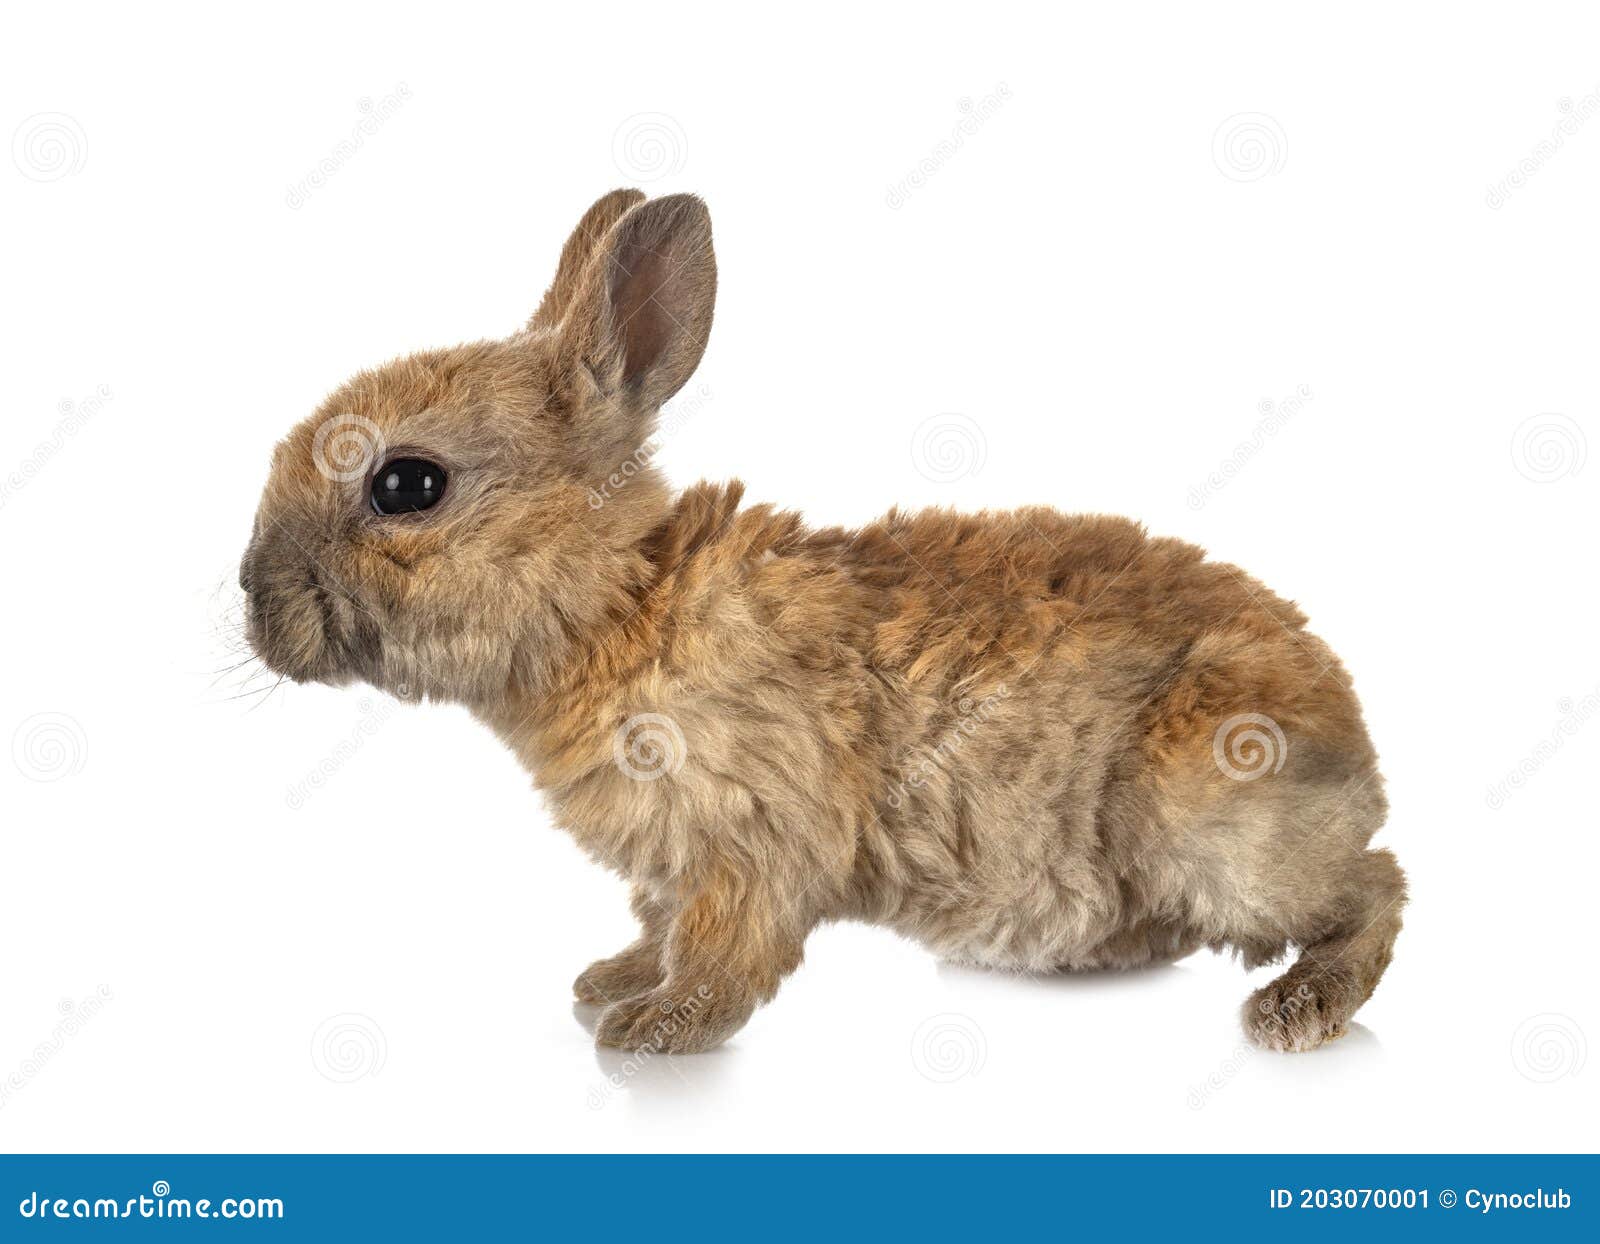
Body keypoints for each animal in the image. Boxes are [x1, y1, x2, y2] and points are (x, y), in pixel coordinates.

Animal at [240, 188, 1405, 1055]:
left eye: (406, 484)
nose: (252, 596)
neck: (619, 607)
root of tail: (1358, 755)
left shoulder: (748, 841)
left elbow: (722, 950)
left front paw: (652, 1028)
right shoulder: (672, 865)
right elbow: (658, 924)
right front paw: (609, 981)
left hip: (1215, 826)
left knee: (1375, 888)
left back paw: (1296, 1007)